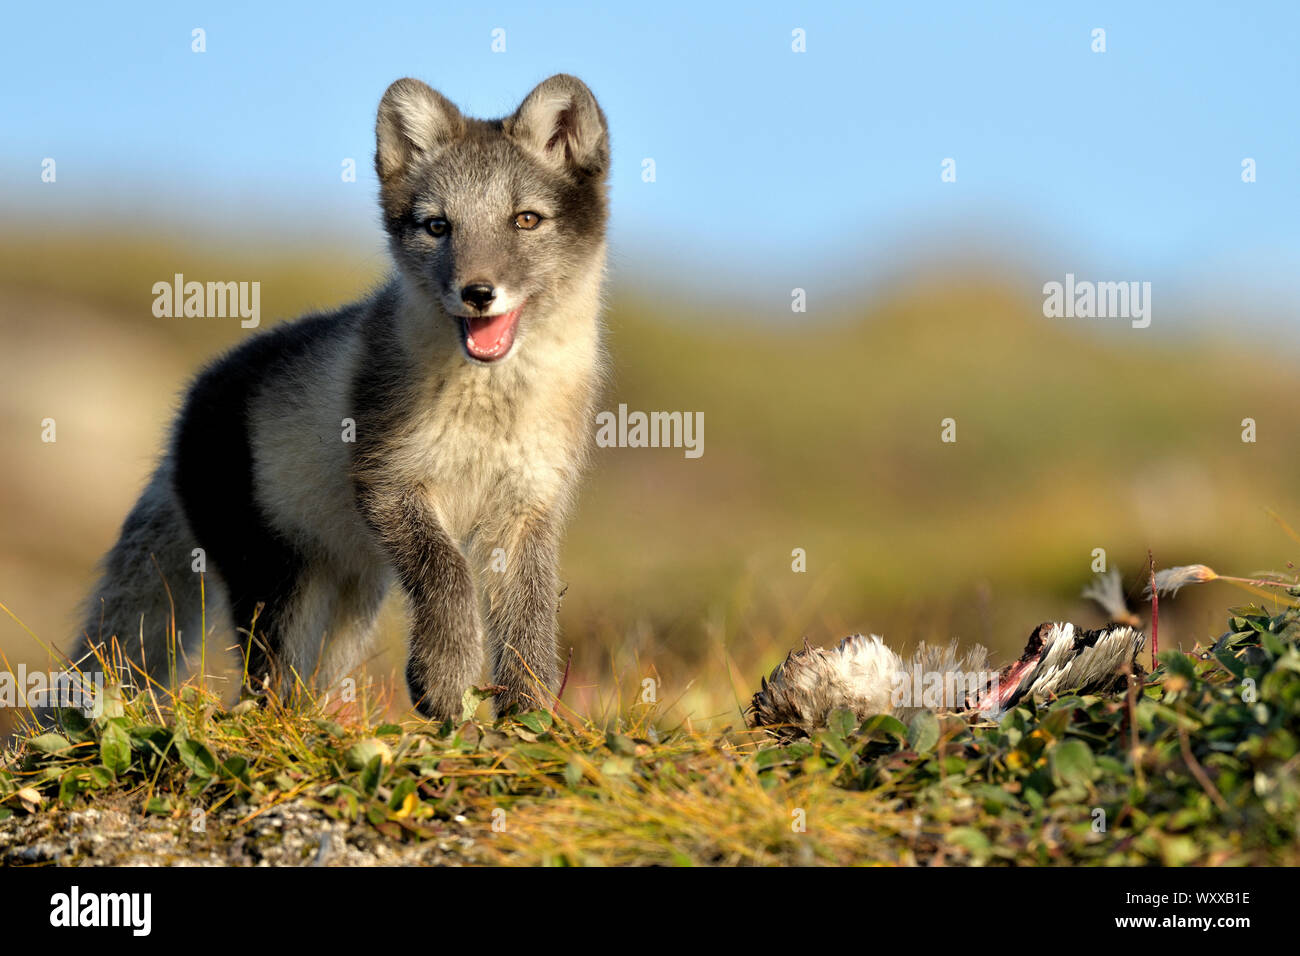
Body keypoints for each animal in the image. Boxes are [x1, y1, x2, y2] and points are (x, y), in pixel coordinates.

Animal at [69, 74, 610, 721]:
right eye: (438, 226)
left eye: (526, 220)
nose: (477, 292)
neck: (492, 408)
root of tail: (188, 410)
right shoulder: (387, 478)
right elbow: (447, 573)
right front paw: (446, 677)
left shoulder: (528, 507)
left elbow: (530, 623)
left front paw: (529, 719)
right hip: (279, 582)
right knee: (263, 689)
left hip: (352, 601)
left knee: (305, 685)